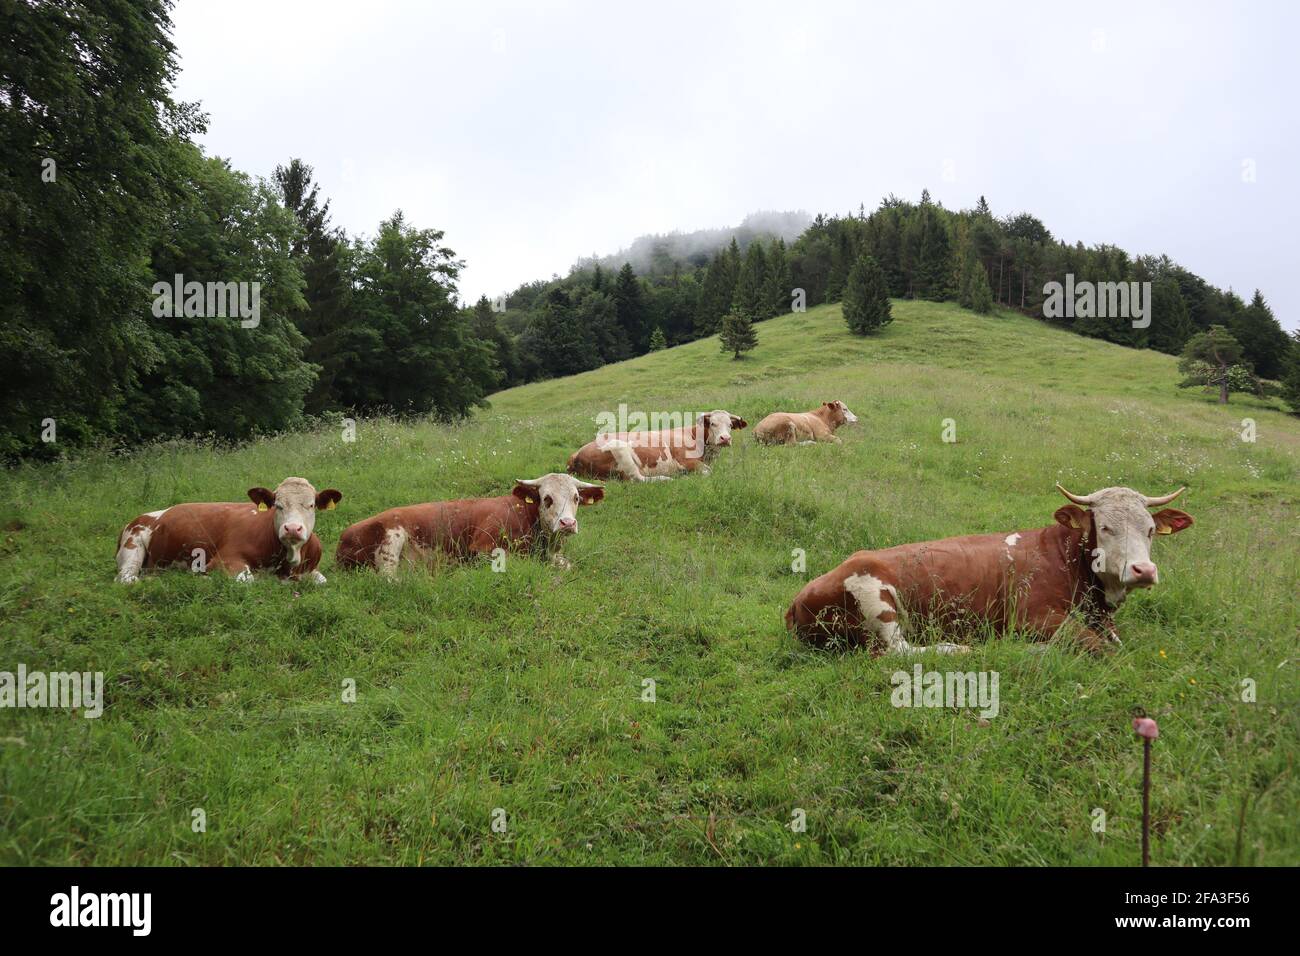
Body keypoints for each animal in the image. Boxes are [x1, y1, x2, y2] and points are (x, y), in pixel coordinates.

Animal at [115, 477, 342, 584]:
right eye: (278, 505)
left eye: (311, 505)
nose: (292, 528)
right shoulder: (224, 560)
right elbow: (247, 580)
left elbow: (322, 581)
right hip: (133, 544)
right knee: (127, 578)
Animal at [567, 409, 748, 482]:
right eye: (713, 423)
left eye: (730, 425)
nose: (725, 438)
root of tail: (577, 454)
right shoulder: (686, 461)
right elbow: (708, 471)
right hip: (622, 453)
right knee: (637, 479)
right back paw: (666, 479)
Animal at [785, 484, 1193, 655]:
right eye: (1105, 527)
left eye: (1150, 529)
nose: (1143, 570)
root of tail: (794, 603)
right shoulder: (1031, 616)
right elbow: (1101, 648)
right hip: (876, 598)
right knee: (897, 652)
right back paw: (959, 649)